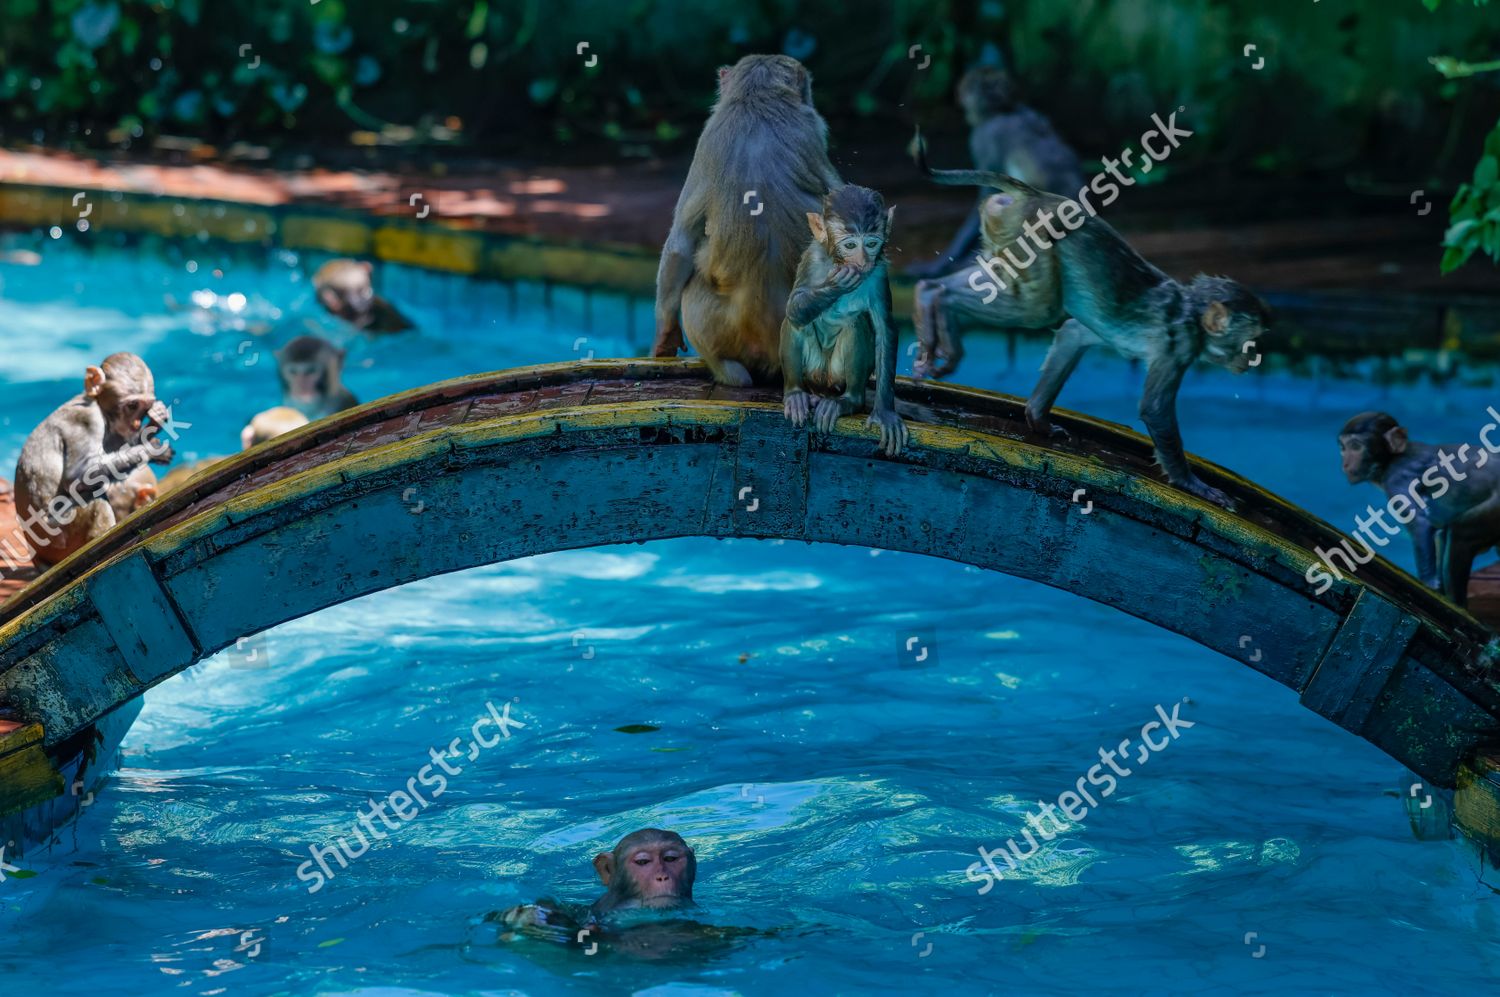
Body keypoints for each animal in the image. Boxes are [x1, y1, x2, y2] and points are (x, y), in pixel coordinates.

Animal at [12, 353, 175, 566]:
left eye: (143, 408)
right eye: (132, 406)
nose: (136, 423)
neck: (95, 402)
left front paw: (153, 426)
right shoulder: (86, 419)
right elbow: (80, 474)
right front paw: (151, 449)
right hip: (61, 533)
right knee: (94, 498)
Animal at [780, 185, 908, 456]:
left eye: (871, 244)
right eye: (850, 245)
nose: (861, 261)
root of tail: (822, 388)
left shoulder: (878, 273)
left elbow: (885, 329)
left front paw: (885, 413)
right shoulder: (812, 258)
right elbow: (794, 307)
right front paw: (834, 285)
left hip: (836, 377)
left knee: (855, 323)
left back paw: (847, 401)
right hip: (812, 372)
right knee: (795, 322)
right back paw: (796, 395)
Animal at [914, 141, 1269, 510]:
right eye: (1248, 343)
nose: (1251, 359)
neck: (1192, 313)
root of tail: (1038, 195)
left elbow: (1073, 333)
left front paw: (1039, 421)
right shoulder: (1178, 346)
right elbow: (1155, 410)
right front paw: (1193, 484)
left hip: (1006, 225)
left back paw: (929, 292)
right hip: (1033, 232)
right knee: (1038, 310)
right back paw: (939, 302)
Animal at [1338, 411, 1500, 606]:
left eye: (1356, 446)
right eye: (1343, 448)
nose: (1345, 463)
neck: (1392, 458)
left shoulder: (1396, 477)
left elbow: (1421, 525)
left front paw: (1430, 584)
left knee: (1459, 535)